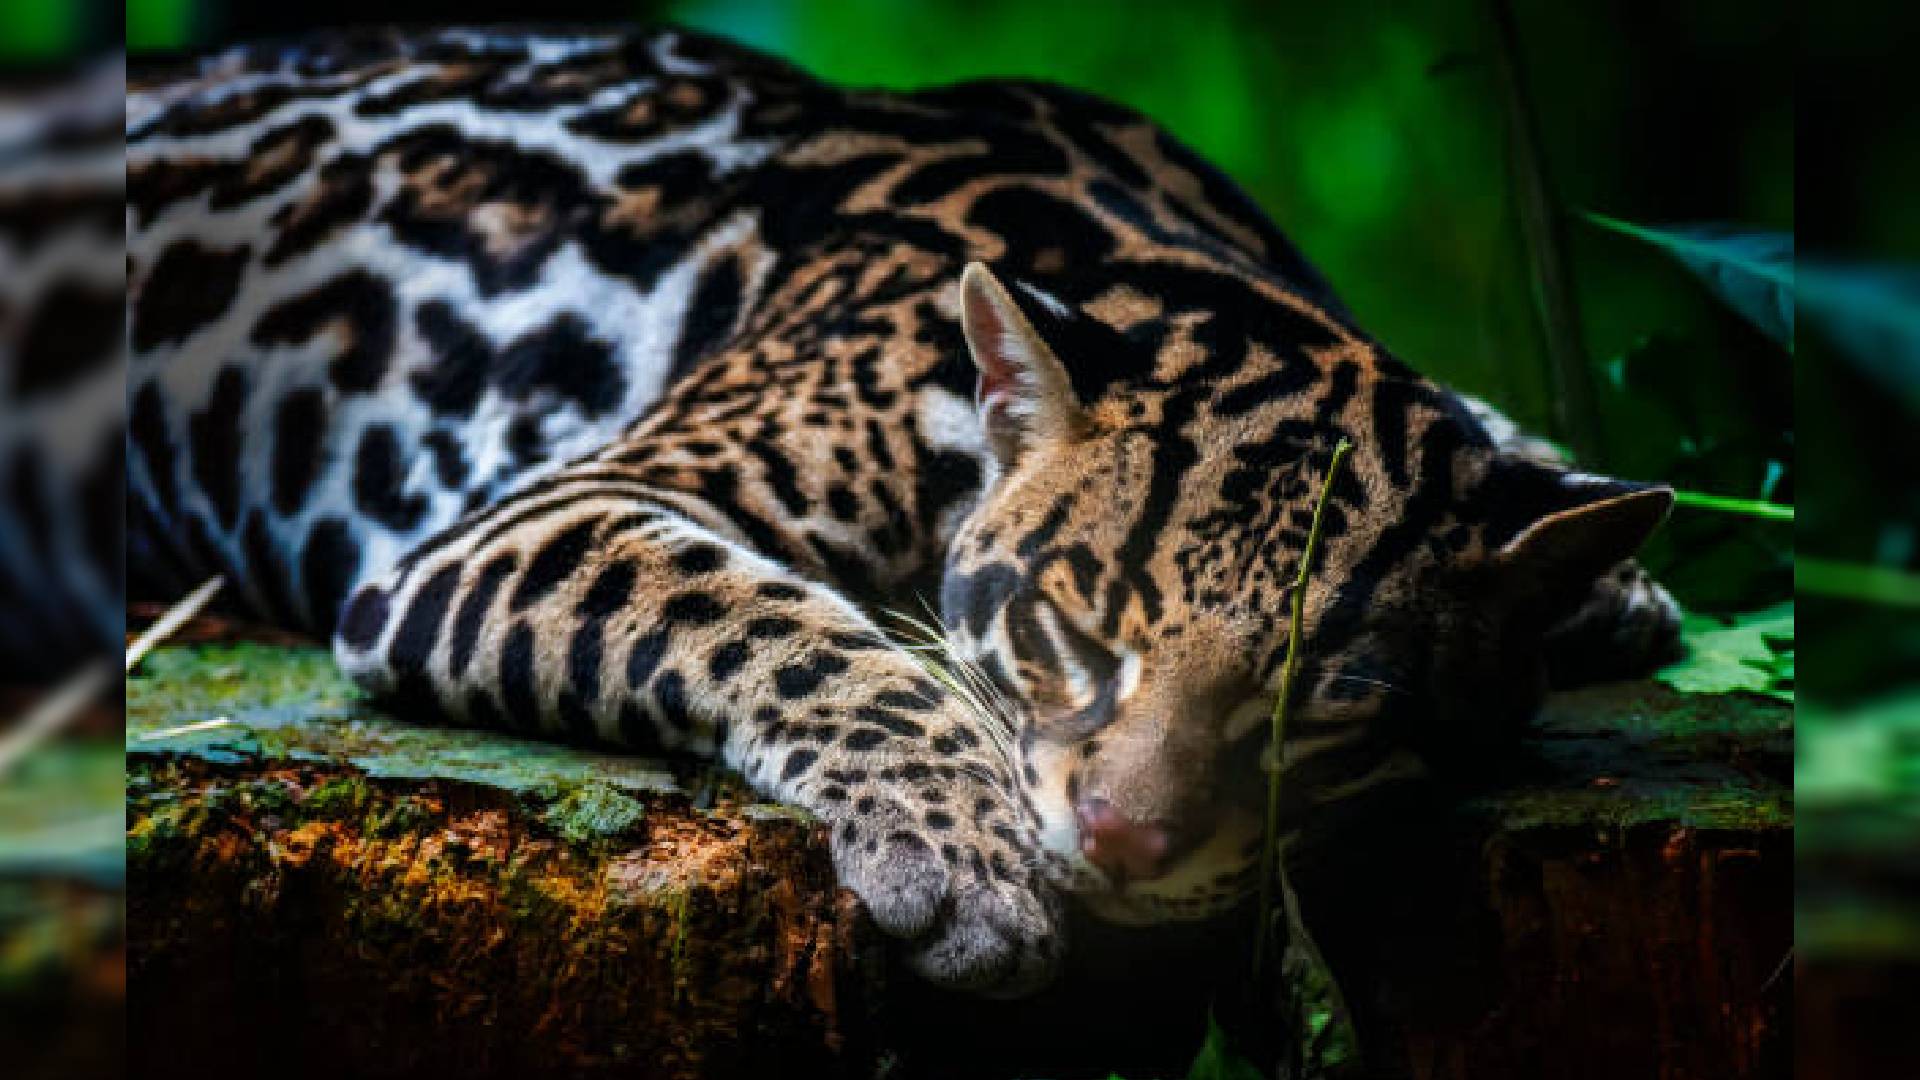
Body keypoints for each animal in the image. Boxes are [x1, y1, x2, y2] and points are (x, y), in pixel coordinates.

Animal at [120, 25, 1683, 1000]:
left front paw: (1609, 583)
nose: (1123, 845)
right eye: (1073, 634)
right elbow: (768, 620)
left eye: (1322, 715)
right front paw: (963, 856)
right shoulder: (537, 515)